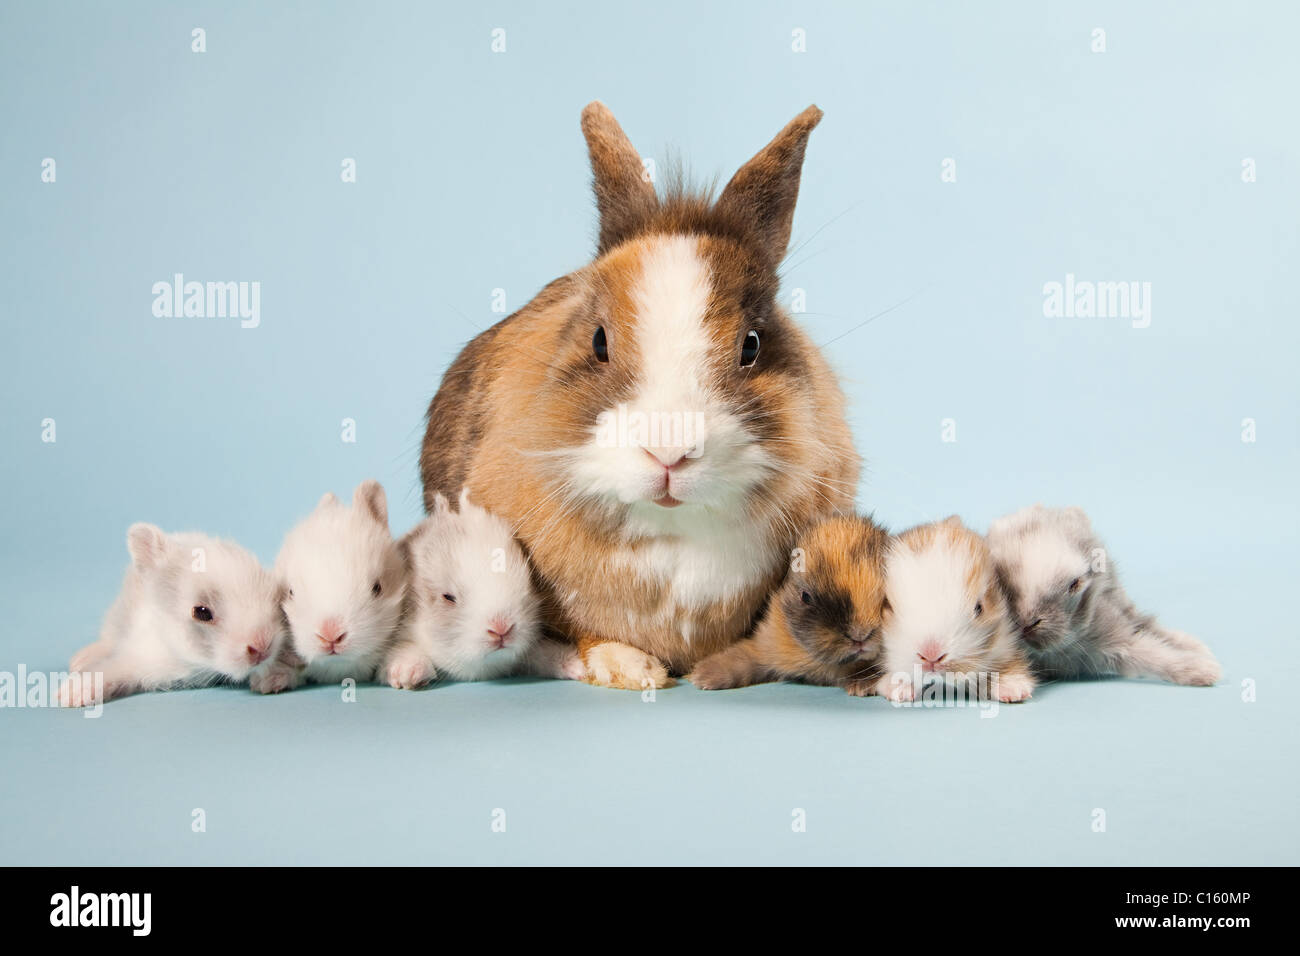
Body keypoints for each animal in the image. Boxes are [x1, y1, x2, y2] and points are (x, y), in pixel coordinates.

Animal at [59, 523, 295, 706]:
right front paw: (69, 695)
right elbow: (109, 670)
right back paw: (81, 659)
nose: (263, 646)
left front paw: (271, 680)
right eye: (201, 612)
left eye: (272, 592)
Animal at [384, 489, 584, 687]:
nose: (501, 628)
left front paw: (576, 667)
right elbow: (403, 648)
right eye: (448, 597)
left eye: (528, 580)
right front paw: (409, 674)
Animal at [687, 514, 891, 695]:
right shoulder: (765, 645)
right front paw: (703, 675)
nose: (860, 636)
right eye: (805, 596)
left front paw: (862, 686)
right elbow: (742, 657)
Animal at [986, 504, 1221, 686]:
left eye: (1075, 584)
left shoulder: (1118, 640)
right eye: (1001, 579)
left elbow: (1156, 656)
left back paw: (1197, 647)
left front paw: (1206, 671)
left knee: (1147, 623)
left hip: (1120, 599)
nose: (1026, 624)